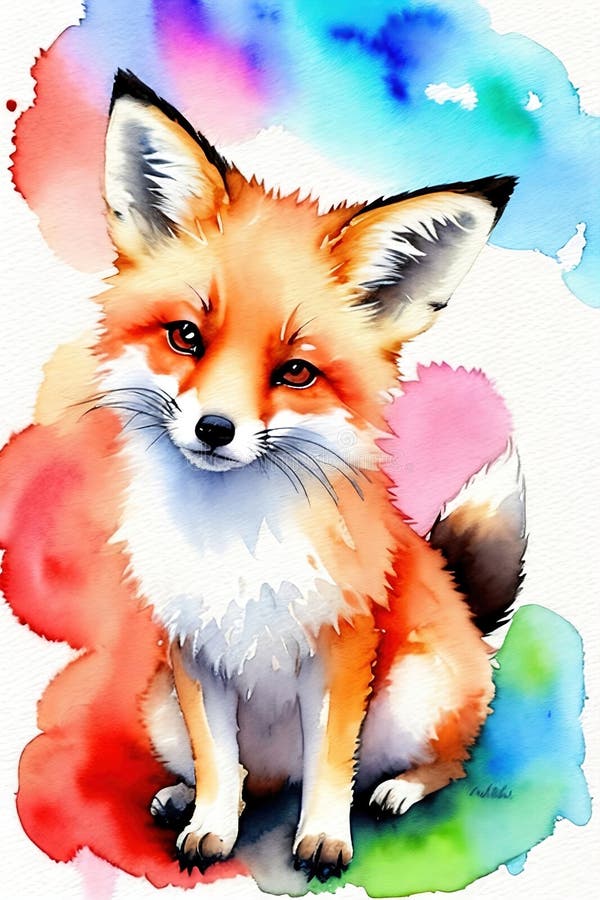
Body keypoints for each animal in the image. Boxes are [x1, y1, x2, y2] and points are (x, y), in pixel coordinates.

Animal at [62, 70, 524, 882]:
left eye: (297, 372)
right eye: (186, 336)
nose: (214, 430)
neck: (235, 543)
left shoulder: (341, 651)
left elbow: (332, 766)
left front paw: (324, 842)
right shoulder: (195, 655)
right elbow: (221, 764)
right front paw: (211, 827)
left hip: (418, 694)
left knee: (440, 761)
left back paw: (402, 789)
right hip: (160, 708)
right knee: (256, 776)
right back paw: (184, 797)